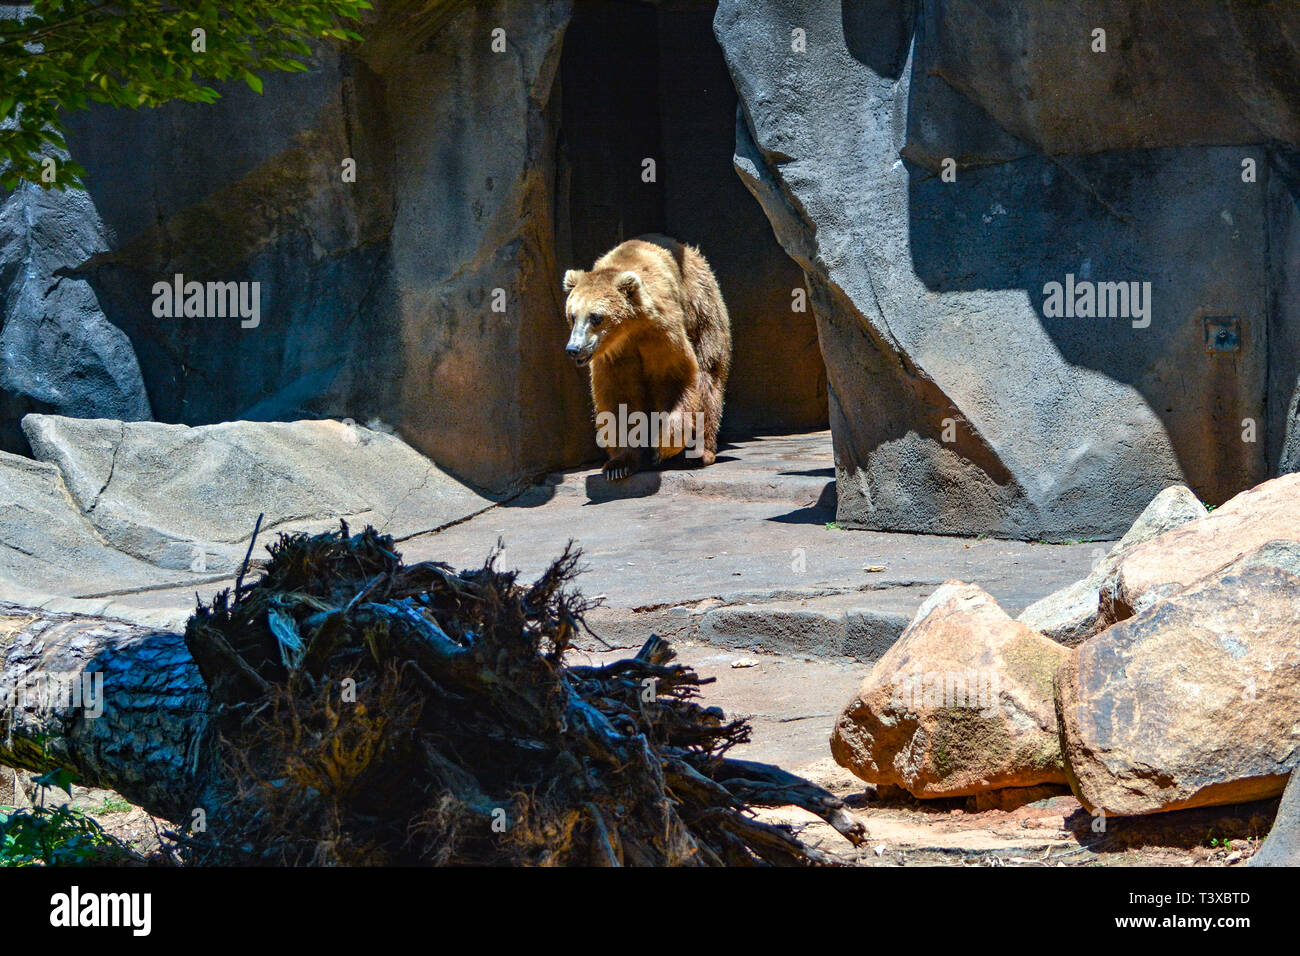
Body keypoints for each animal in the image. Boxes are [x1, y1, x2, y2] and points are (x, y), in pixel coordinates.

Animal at [563, 235, 731, 481]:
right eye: (572, 315)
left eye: (595, 317)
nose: (574, 348)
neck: (628, 329)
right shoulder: (616, 355)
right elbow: (620, 397)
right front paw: (618, 465)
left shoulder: (661, 334)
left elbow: (674, 379)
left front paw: (662, 447)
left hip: (701, 309)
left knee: (708, 376)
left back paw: (701, 453)